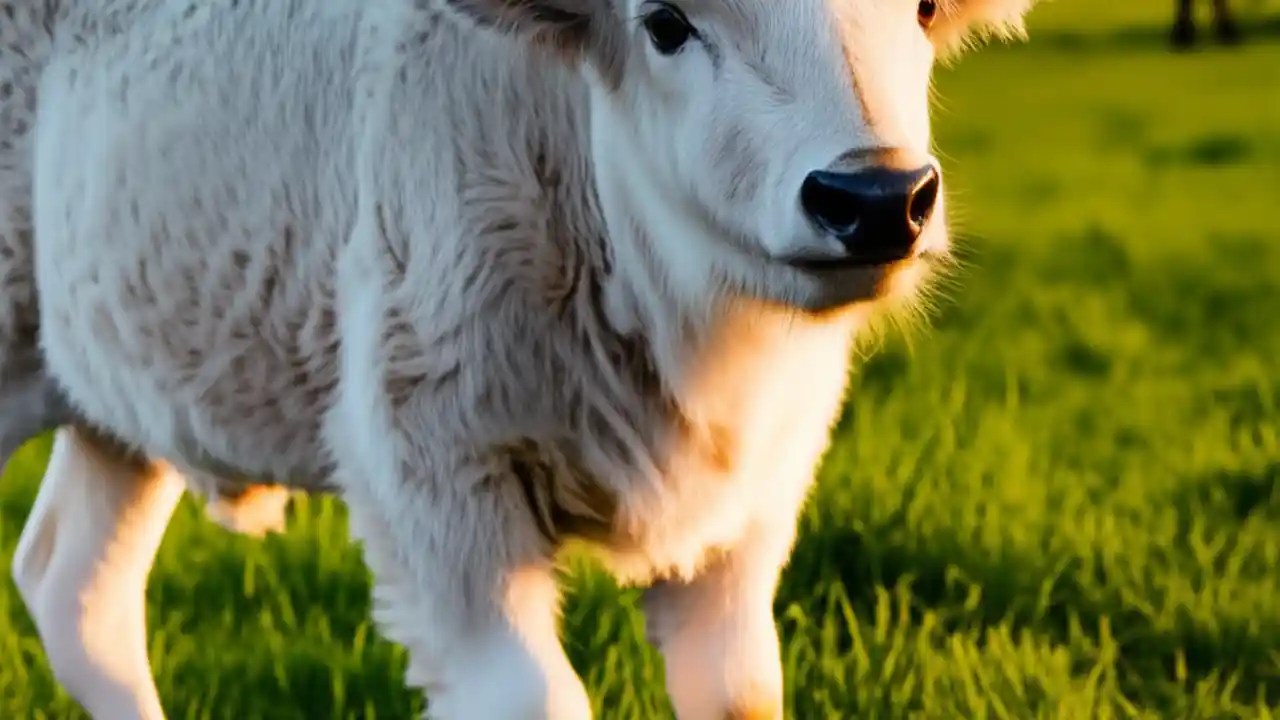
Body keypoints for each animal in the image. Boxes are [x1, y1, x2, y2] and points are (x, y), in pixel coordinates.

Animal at [0, 0, 1039, 718]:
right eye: (667, 24)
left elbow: (739, 692)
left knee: (75, 590)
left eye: (923, 8)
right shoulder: (437, 484)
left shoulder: (747, 517)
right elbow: (535, 697)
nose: (876, 197)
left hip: (122, 396)